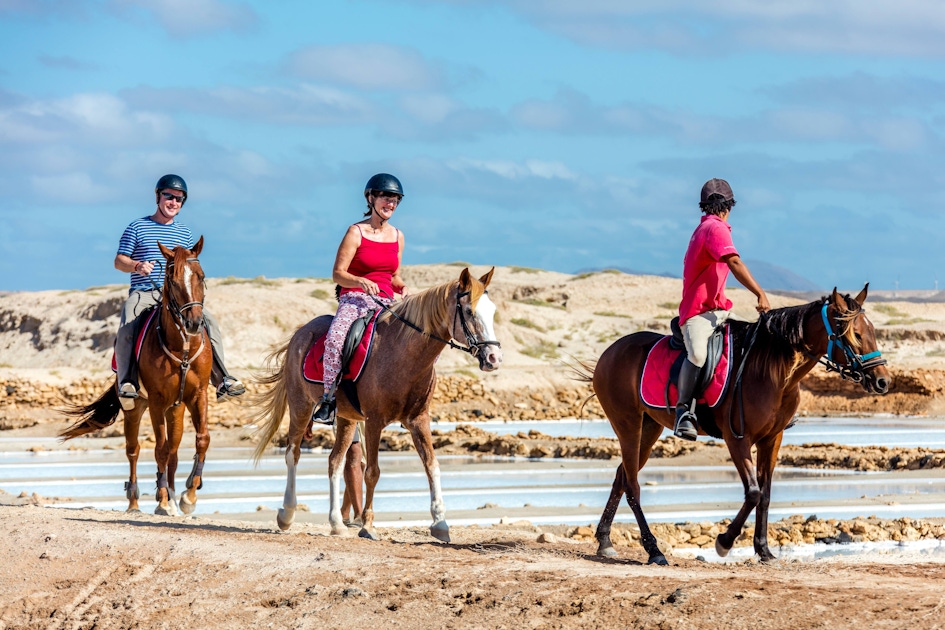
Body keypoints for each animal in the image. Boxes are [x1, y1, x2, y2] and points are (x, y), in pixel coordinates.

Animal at [60, 237, 213, 516]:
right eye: (172, 279)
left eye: (201, 276)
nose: (194, 323)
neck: (181, 348)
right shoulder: (156, 402)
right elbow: (159, 450)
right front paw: (163, 500)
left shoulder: (198, 395)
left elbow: (201, 440)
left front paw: (188, 495)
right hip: (135, 408)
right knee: (134, 451)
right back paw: (135, 502)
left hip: (175, 410)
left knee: (174, 451)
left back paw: (171, 495)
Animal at [250, 267, 502, 542]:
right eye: (469, 311)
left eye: (492, 311)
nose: (494, 358)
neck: (404, 354)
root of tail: (300, 331)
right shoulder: (374, 422)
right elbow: (372, 472)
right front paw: (368, 525)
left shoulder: (419, 420)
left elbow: (432, 466)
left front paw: (440, 523)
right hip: (301, 406)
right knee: (292, 454)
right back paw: (287, 514)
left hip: (346, 419)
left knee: (335, 461)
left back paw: (336, 523)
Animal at [586, 285, 890, 565]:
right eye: (853, 334)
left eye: (872, 331)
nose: (883, 381)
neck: (773, 373)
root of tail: (610, 351)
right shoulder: (738, 439)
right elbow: (753, 492)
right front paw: (725, 541)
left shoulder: (772, 439)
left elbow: (765, 494)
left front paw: (764, 550)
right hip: (628, 424)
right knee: (633, 485)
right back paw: (654, 550)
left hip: (649, 428)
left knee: (622, 476)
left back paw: (605, 541)